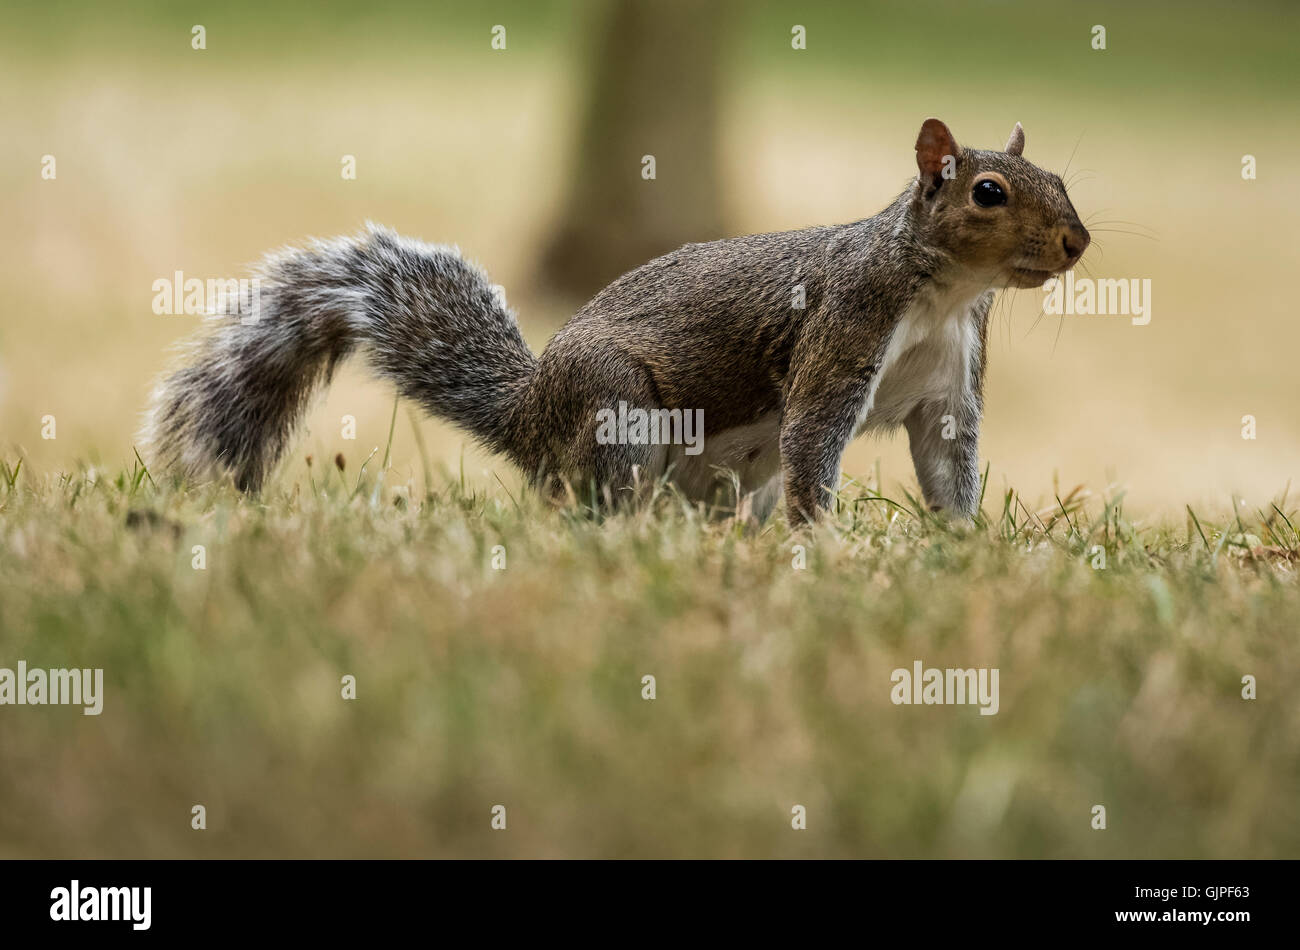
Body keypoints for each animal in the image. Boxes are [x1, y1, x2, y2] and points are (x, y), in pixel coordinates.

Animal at [142, 118, 1088, 525]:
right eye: (988, 192)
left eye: (1062, 181)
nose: (1077, 242)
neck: (944, 296)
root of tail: (528, 417)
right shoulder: (843, 336)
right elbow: (814, 441)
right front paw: (820, 545)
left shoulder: (950, 387)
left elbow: (948, 463)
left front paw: (962, 545)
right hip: (617, 412)